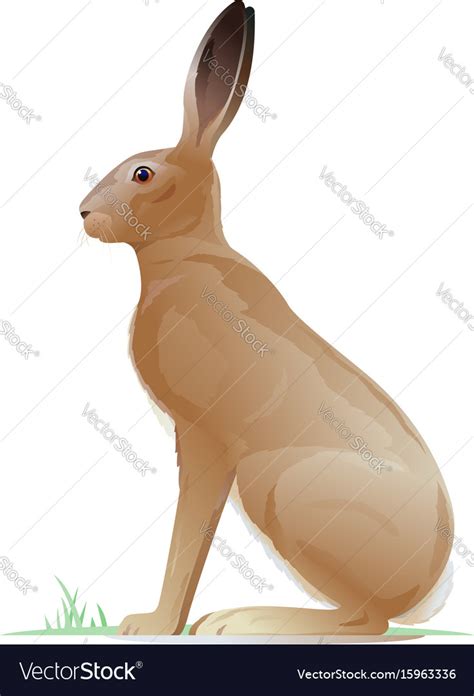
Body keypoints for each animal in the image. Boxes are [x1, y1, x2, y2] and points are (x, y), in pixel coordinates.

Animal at [79, 0, 454, 636]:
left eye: (143, 174)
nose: (81, 213)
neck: (184, 254)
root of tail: (422, 588)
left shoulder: (204, 437)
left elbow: (190, 533)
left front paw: (155, 624)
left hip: (276, 487)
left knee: (366, 622)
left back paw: (244, 620)